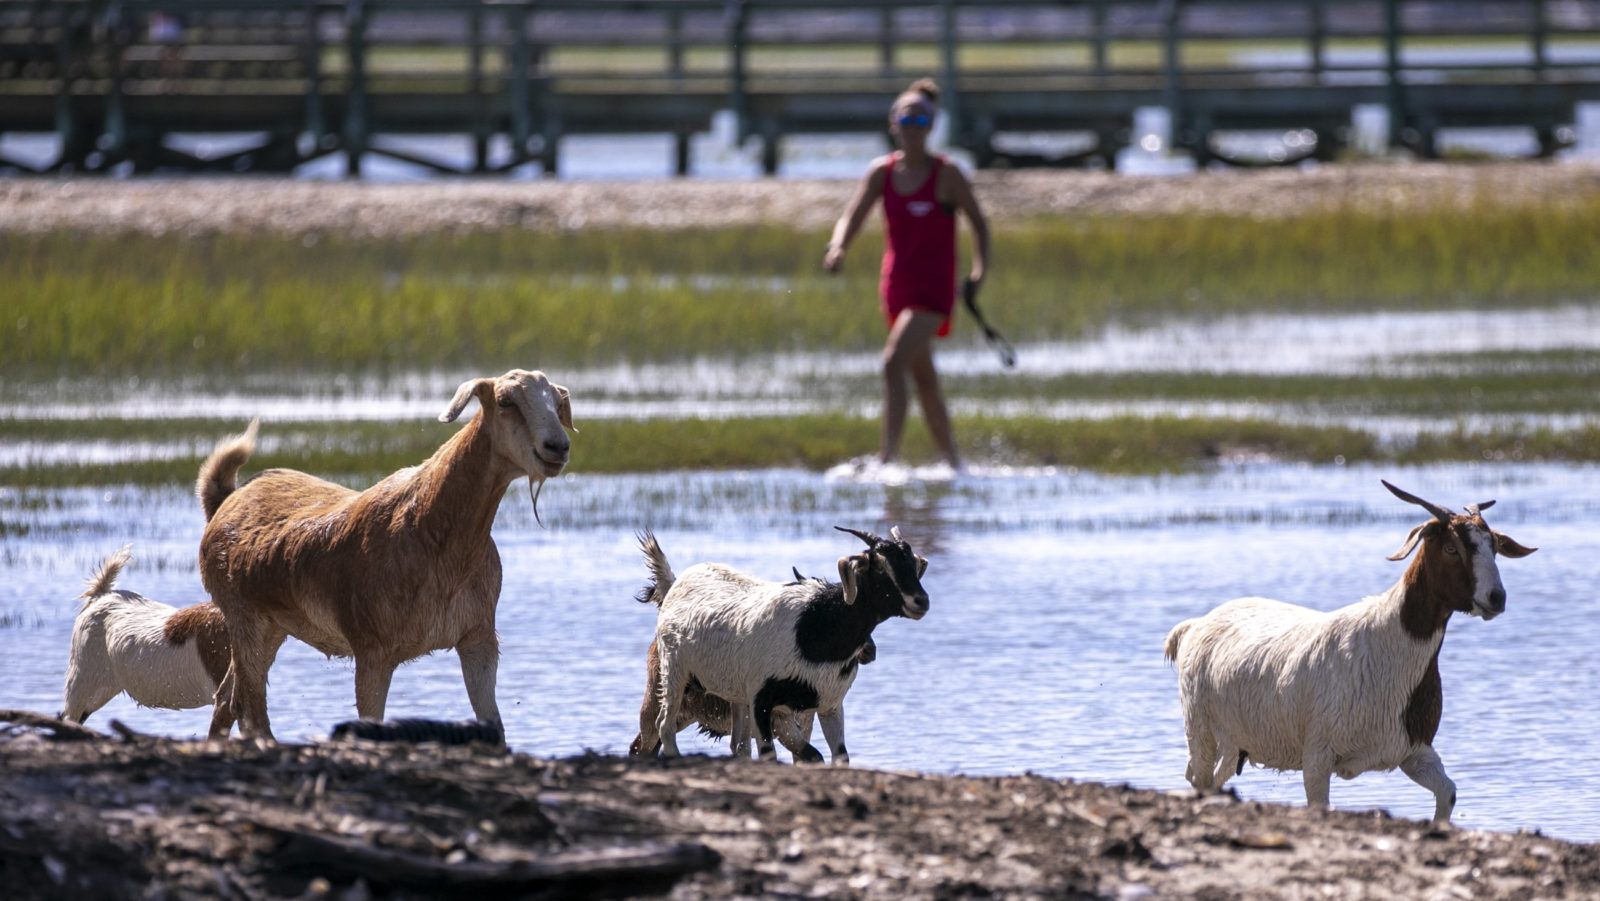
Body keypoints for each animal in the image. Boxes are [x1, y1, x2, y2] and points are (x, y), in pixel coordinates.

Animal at [196, 369, 574, 740]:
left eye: (558, 402)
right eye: (505, 400)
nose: (557, 446)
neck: (437, 537)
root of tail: (224, 503)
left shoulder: (478, 637)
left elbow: (494, 724)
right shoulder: (372, 650)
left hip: (273, 626)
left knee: (226, 701)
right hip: (243, 617)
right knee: (249, 710)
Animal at [636, 526, 928, 764]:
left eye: (912, 564)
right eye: (879, 568)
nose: (921, 601)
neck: (814, 625)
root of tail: (675, 583)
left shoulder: (828, 704)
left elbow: (834, 756)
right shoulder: (763, 700)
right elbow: (774, 754)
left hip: (735, 694)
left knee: (738, 746)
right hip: (674, 673)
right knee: (663, 728)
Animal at [1164, 480, 1535, 825]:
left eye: (1494, 547)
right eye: (1451, 548)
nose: (1495, 598)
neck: (1390, 642)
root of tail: (1194, 626)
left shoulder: (1413, 750)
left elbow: (1449, 793)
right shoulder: (1317, 756)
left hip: (1235, 743)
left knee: (1212, 779)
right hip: (1200, 728)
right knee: (1199, 775)